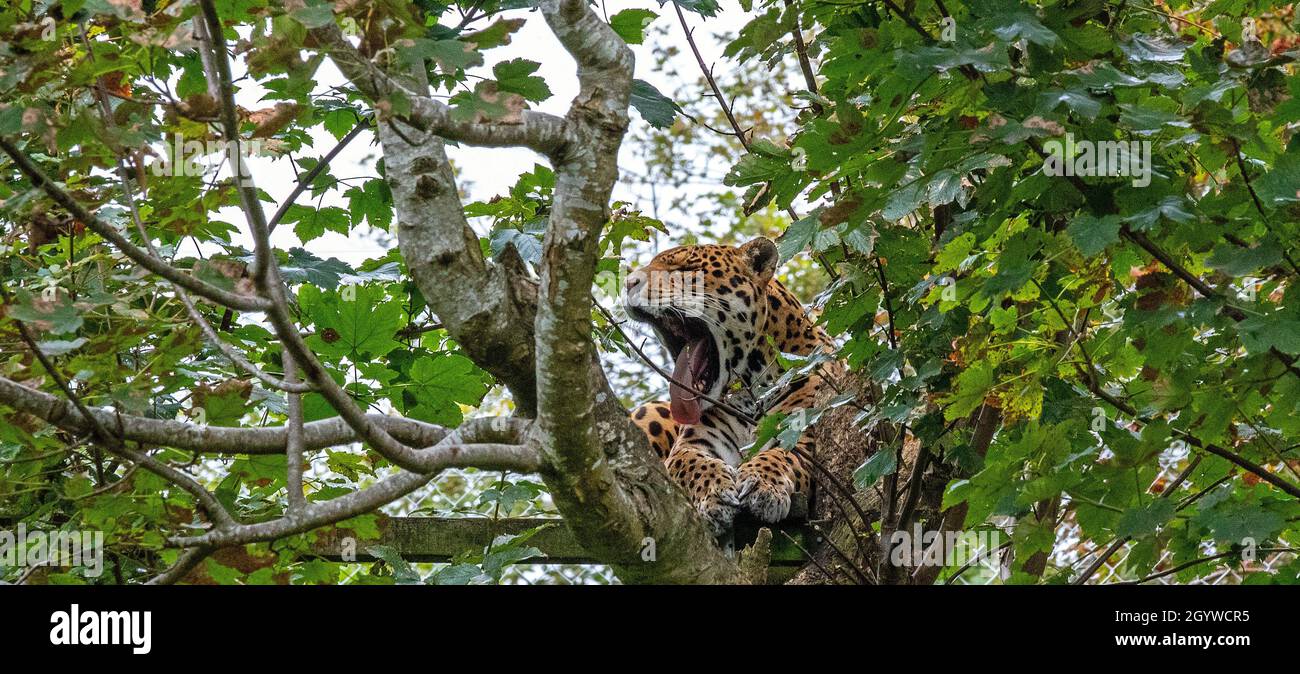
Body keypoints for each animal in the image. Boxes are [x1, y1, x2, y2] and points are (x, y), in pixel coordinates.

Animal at [622, 237, 838, 537]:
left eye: (687, 269)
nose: (628, 283)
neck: (750, 387)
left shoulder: (803, 435)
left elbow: (782, 455)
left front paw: (762, 483)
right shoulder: (691, 445)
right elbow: (691, 463)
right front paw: (714, 491)